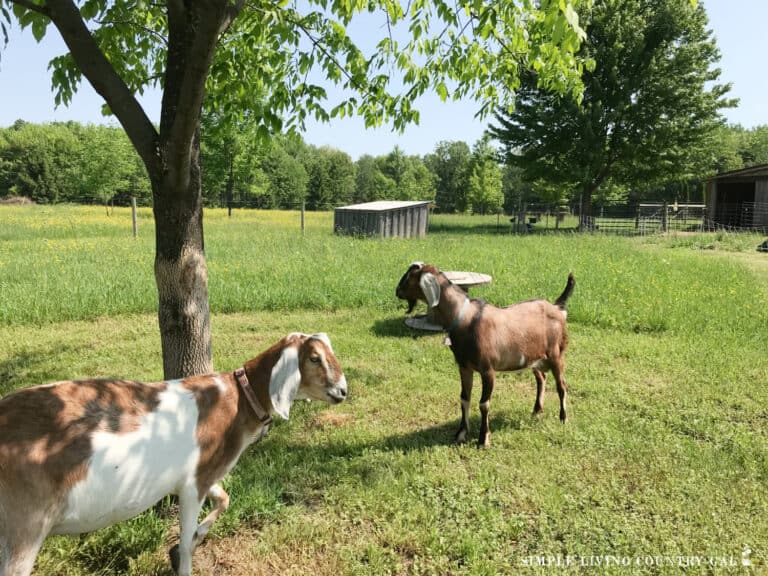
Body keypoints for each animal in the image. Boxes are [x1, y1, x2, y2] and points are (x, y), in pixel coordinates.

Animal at [0, 333, 347, 576]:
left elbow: (223, 499)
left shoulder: (198, 474)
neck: (237, 399)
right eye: (314, 358)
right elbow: (190, 534)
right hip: (25, 526)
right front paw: (183, 554)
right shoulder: (195, 484)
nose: (343, 391)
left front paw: (187, 543)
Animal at [396, 263, 574, 448]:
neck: (465, 318)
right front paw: (461, 434)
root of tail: (558, 308)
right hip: (535, 359)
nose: (397, 291)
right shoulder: (464, 367)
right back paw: (537, 411)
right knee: (541, 379)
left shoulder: (487, 369)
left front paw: (483, 439)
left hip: (556, 355)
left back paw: (563, 419)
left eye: (410, 277)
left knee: (562, 386)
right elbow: (464, 398)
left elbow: (484, 404)